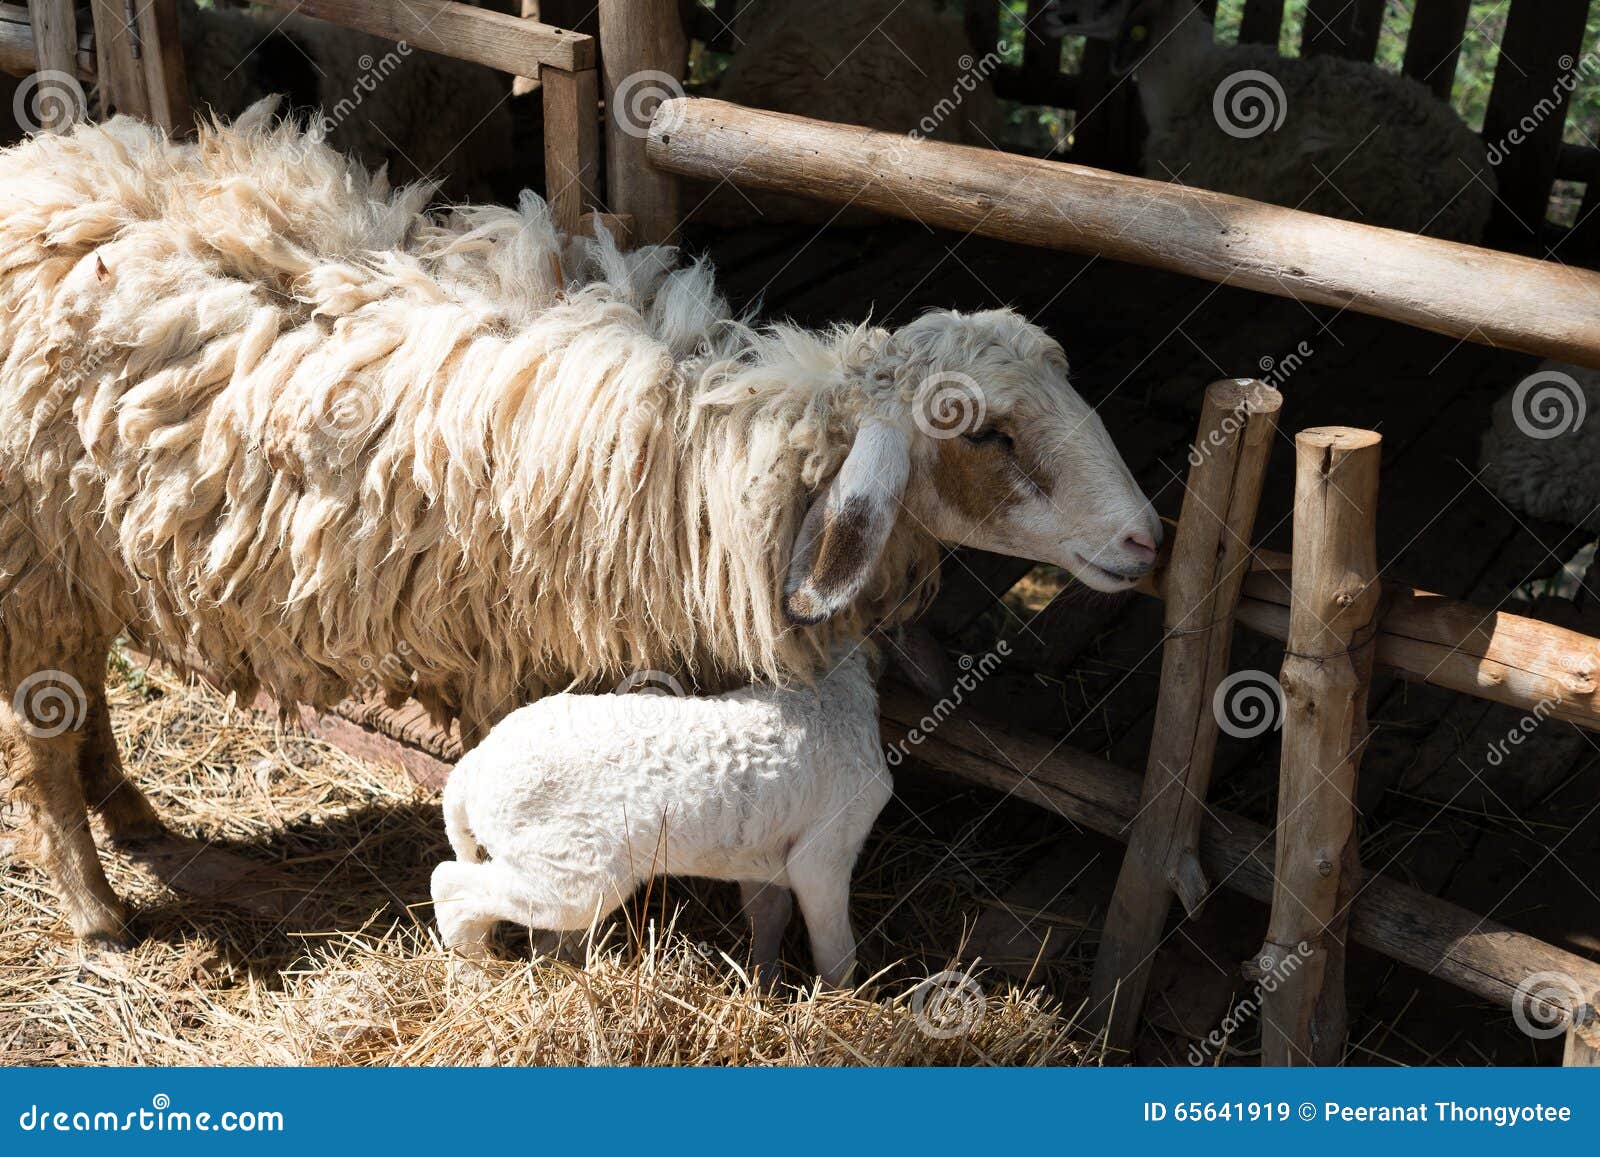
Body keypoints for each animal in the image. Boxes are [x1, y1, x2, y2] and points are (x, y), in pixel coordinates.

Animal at [0, 103, 1159, 946]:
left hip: (80, 566)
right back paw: (98, 910)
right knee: (38, 754)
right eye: (985, 432)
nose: (1147, 537)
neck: (705, 466)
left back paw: (132, 813)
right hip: (30, 564)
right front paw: (572, 944)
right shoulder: (516, 662)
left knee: (83, 693)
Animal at [433, 648, 889, 984]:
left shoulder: (761, 853)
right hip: (570, 872)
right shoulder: (828, 845)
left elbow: (769, 914)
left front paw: (765, 983)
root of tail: (470, 772)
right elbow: (835, 948)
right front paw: (842, 1001)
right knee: (449, 884)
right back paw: (475, 978)